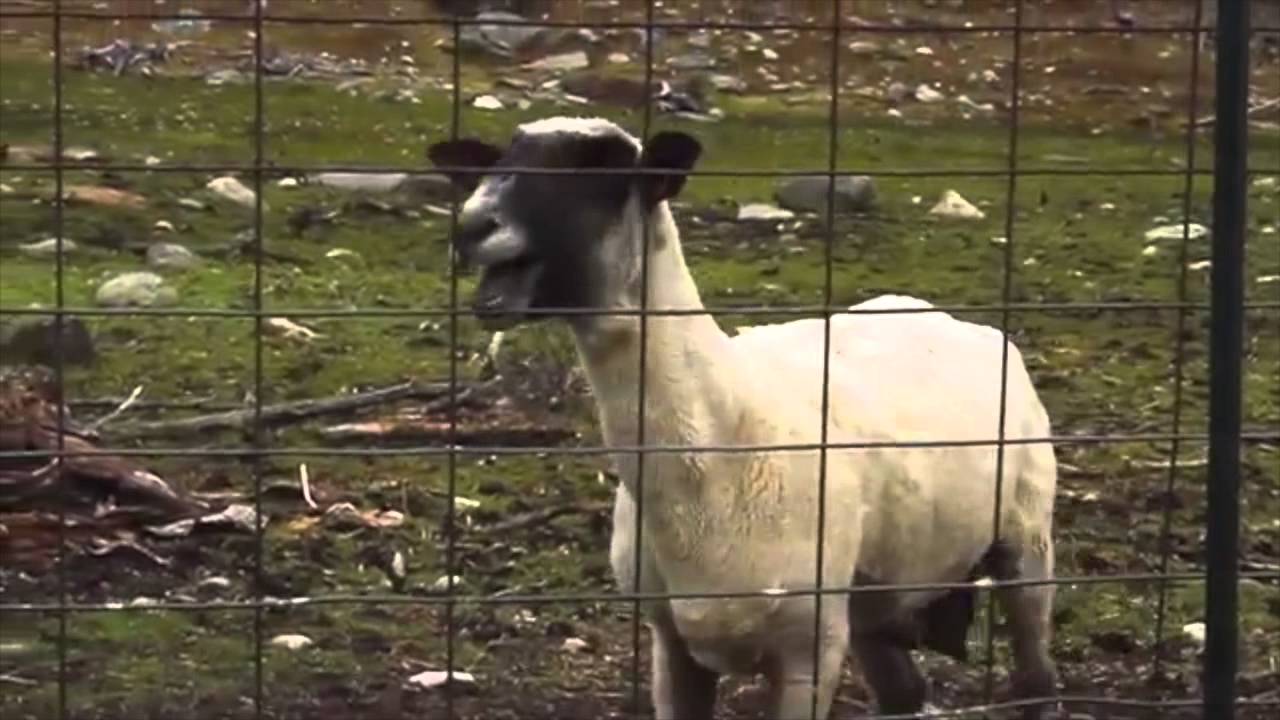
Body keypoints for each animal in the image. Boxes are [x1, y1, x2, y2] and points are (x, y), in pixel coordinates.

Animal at [428, 116, 1059, 720]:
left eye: (601, 169)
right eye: (502, 157)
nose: (472, 226)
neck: (720, 441)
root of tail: (942, 314)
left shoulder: (809, 651)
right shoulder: (671, 643)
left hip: (1025, 536)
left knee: (1036, 676)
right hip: (875, 591)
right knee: (903, 691)